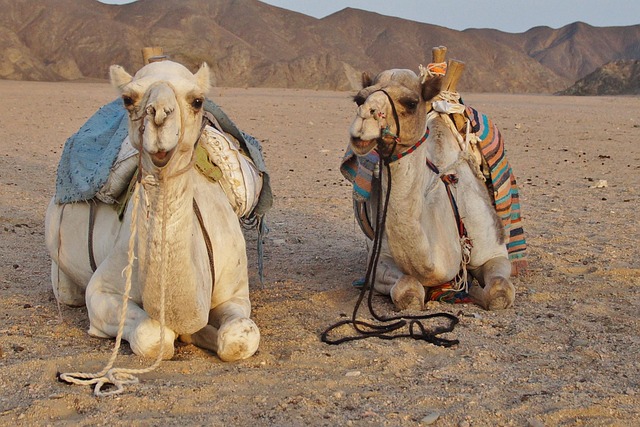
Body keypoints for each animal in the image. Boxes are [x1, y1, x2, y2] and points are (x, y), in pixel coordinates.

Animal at [45, 60, 260, 361]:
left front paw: (201, 334)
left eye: (197, 101)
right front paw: (187, 335)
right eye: (127, 99)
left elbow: (240, 336)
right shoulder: (103, 290)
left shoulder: (235, 292)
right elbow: (153, 335)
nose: (158, 115)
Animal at [346, 63, 518, 311]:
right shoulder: (379, 258)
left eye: (410, 102)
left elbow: (499, 291)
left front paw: (473, 290)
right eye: (359, 99)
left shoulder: (494, 252)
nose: (362, 124)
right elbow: (407, 290)